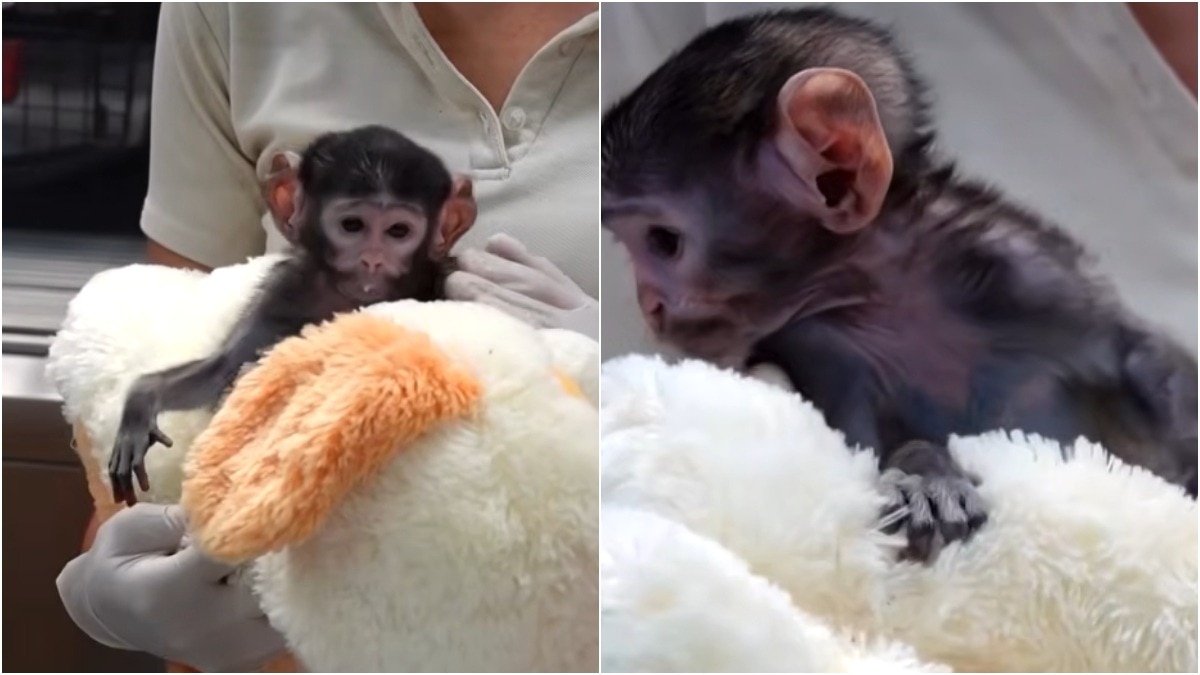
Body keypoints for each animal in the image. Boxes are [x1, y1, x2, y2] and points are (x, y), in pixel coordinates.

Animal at [108, 125, 478, 506]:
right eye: (353, 225)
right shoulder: (283, 289)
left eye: (398, 231)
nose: (373, 260)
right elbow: (221, 371)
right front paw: (140, 403)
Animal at [601, 9, 1197, 563]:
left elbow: (1141, 355)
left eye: (663, 242)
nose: (650, 306)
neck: (887, 289)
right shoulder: (823, 344)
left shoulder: (1024, 270)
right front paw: (926, 477)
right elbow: (866, 442)